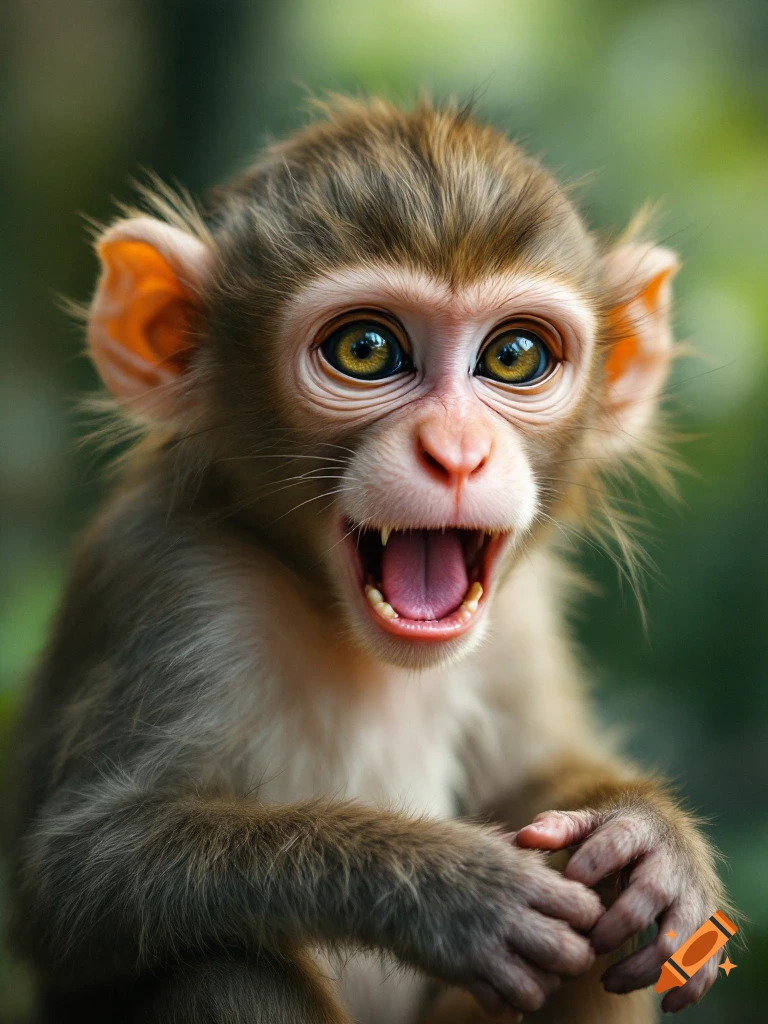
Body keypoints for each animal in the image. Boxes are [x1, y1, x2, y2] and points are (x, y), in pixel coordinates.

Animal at [6, 96, 729, 1024]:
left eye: (514, 357)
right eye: (366, 349)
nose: (457, 454)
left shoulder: (519, 618)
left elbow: (539, 789)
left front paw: (650, 839)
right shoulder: (168, 585)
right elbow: (76, 872)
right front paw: (449, 889)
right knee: (223, 962)